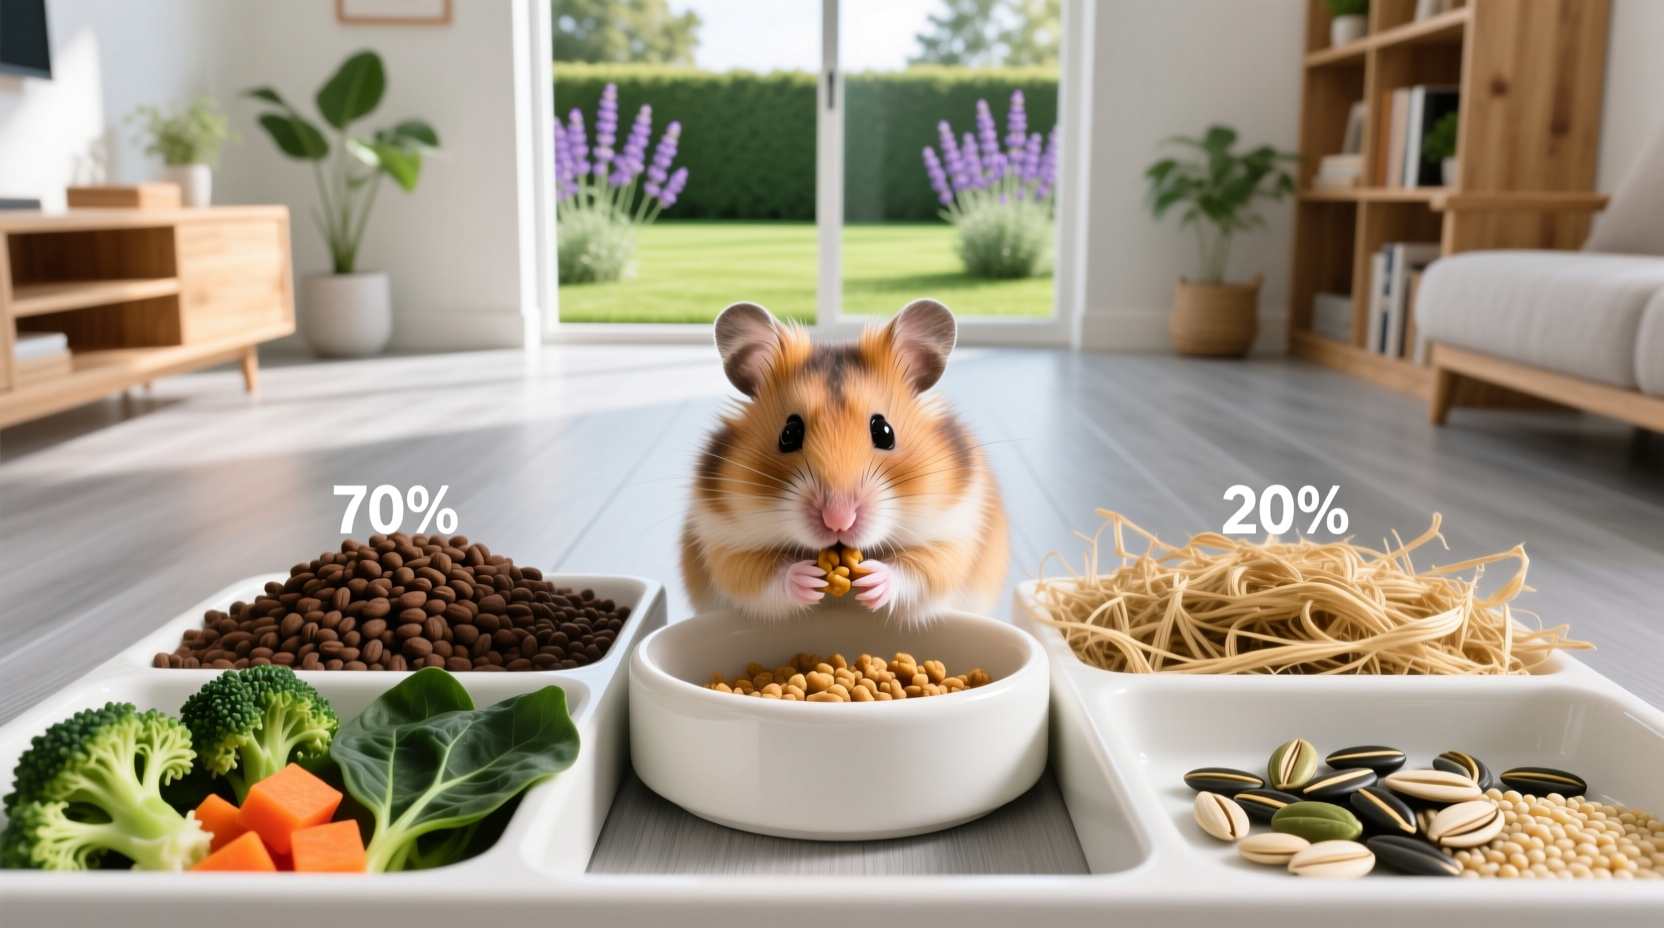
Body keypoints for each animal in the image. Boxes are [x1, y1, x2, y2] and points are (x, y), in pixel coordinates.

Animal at [681, 298, 1009, 622]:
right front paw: (806, 578)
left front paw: (874, 579)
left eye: (885, 432)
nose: (838, 520)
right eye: (789, 434)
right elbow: (754, 575)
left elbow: (924, 570)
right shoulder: (722, 540)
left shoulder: (953, 532)